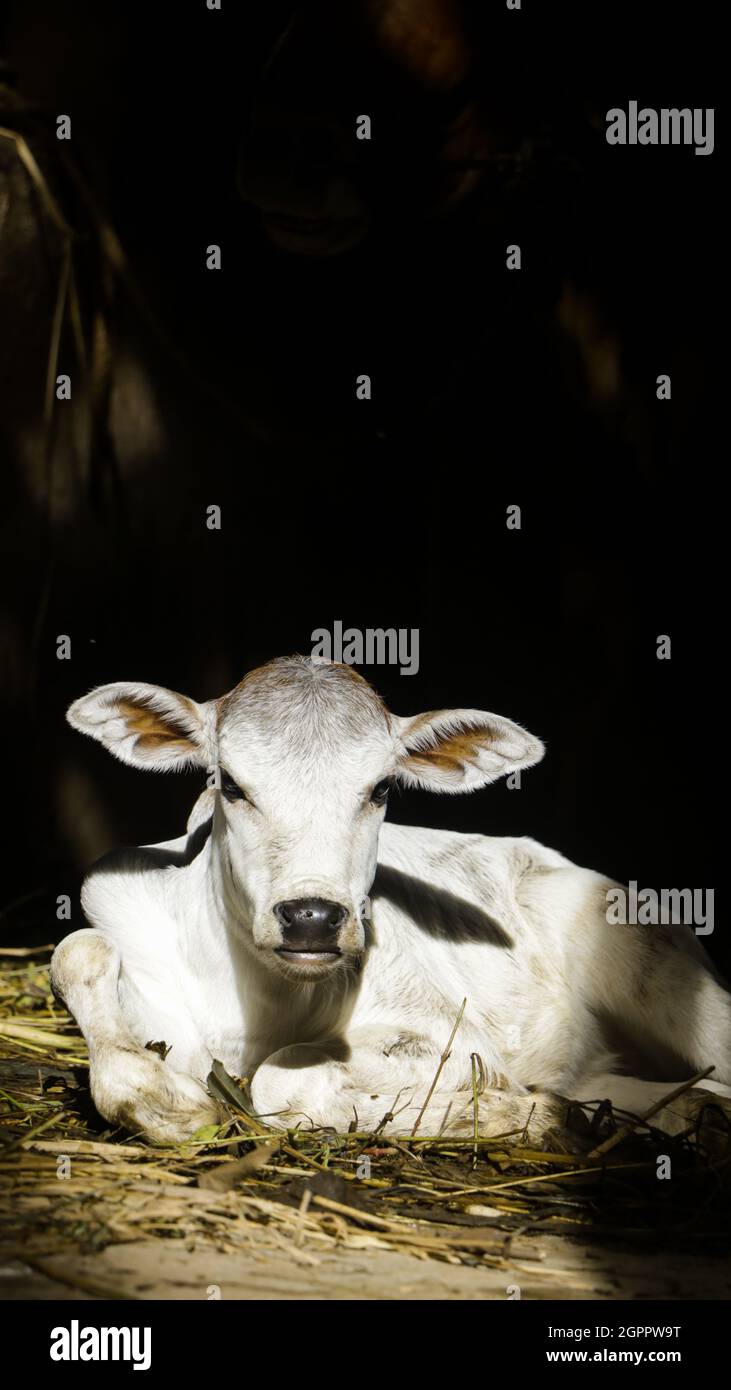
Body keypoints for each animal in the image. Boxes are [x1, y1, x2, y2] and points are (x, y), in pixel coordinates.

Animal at [51, 655, 731, 1145]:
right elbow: (78, 953)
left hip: (659, 975)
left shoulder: (449, 1037)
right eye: (232, 785)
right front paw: (162, 1098)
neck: (258, 1007)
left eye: (380, 789)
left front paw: (521, 1113)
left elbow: (279, 1083)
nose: (312, 918)